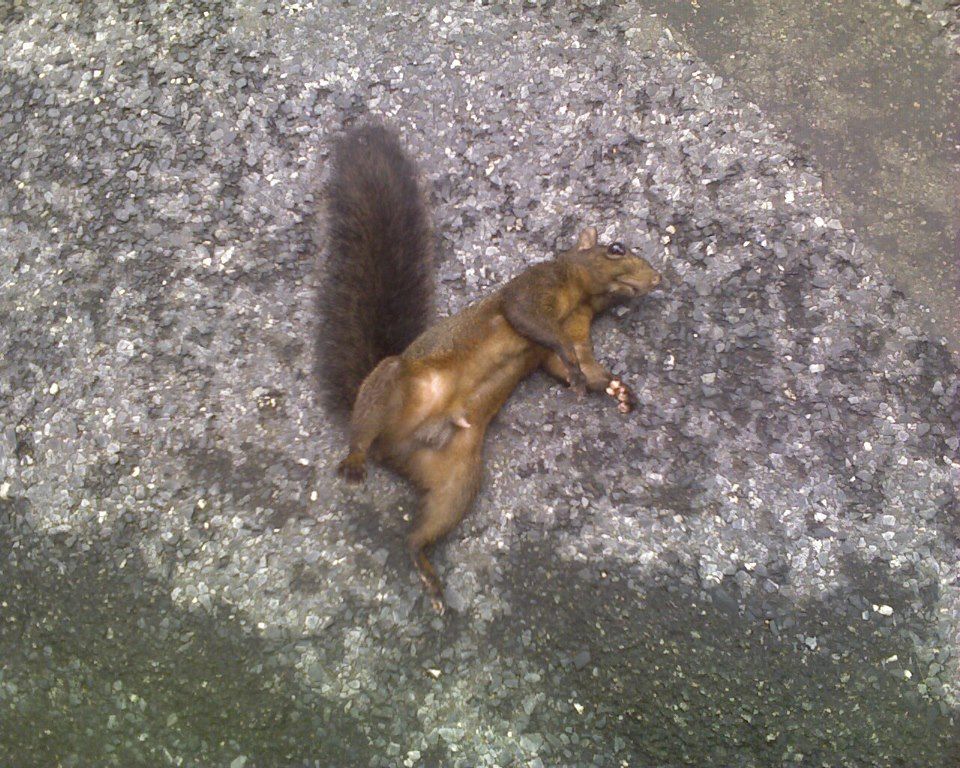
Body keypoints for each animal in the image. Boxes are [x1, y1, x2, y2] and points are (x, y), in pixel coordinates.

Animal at [318, 124, 661, 614]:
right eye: (616, 248)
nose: (658, 279)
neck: (581, 298)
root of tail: (396, 445)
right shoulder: (531, 287)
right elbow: (533, 324)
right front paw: (581, 373)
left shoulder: (578, 330)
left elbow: (574, 361)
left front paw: (615, 388)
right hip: (389, 384)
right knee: (362, 431)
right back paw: (354, 460)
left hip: (459, 479)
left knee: (423, 529)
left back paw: (426, 570)